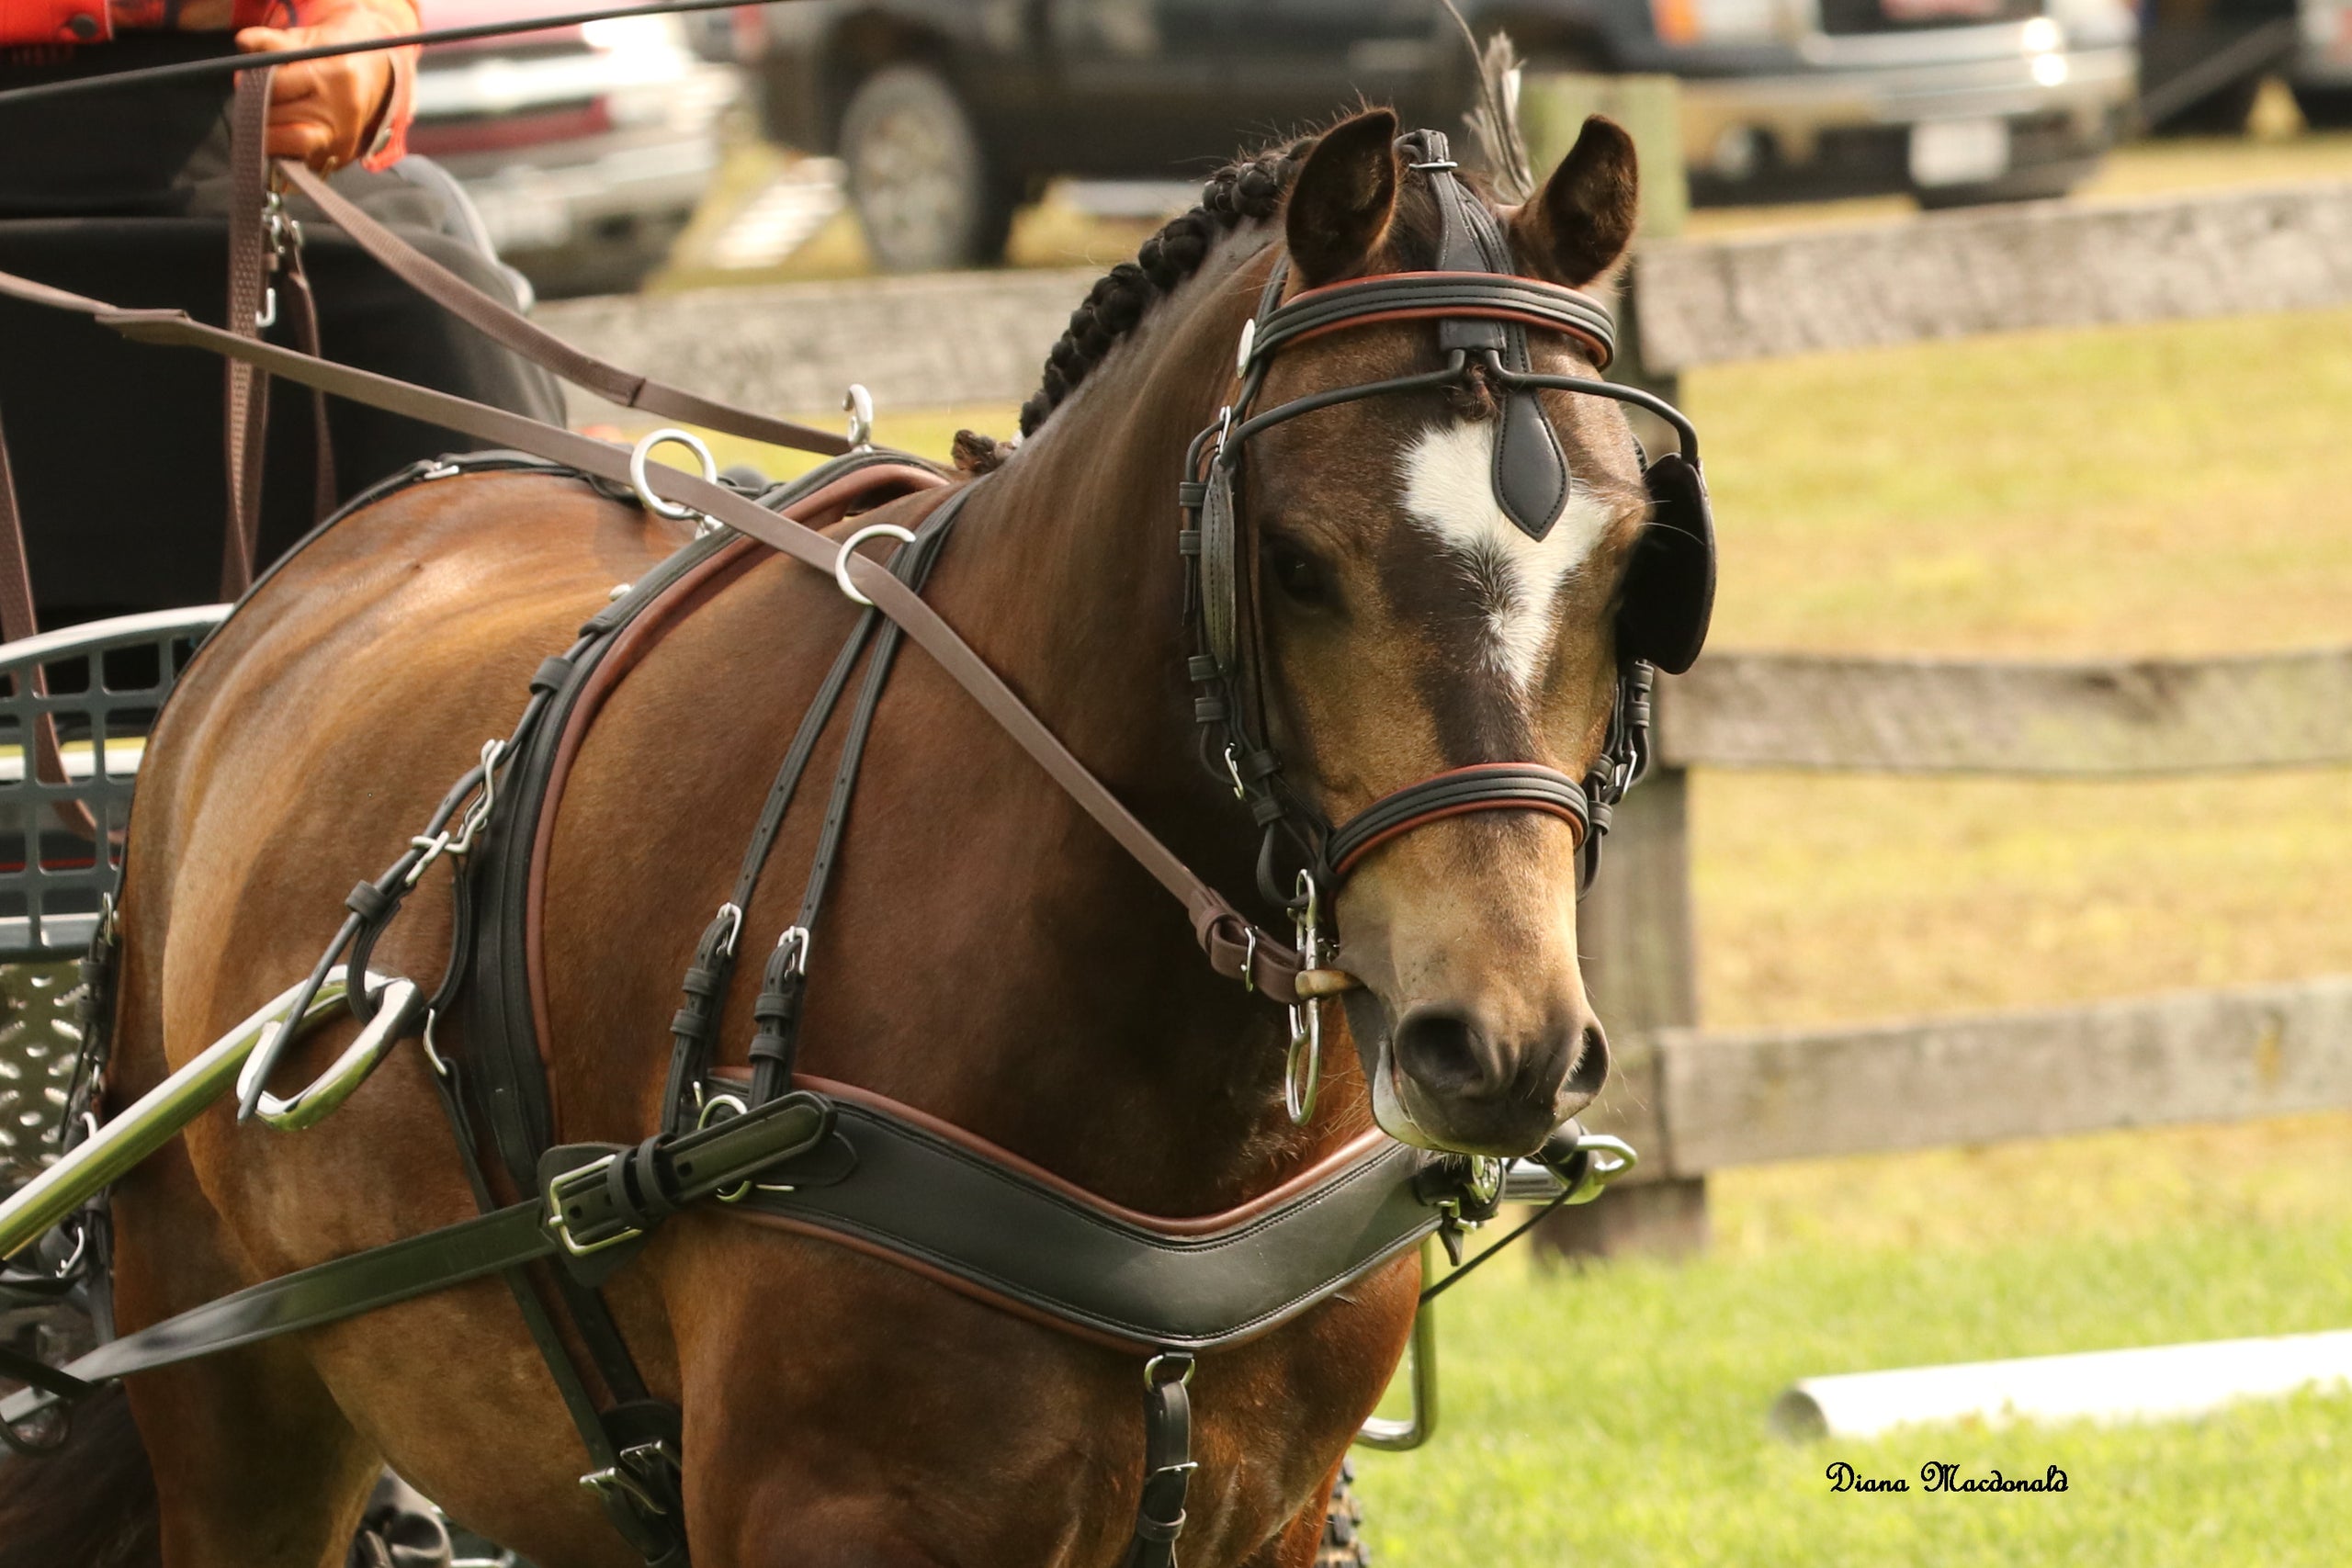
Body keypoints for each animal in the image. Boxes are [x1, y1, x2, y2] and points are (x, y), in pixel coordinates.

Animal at [4, 105, 1655, 1566]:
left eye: (1638, 562)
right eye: (1297, 561)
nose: (1501, 1043)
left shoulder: (1268, 1515)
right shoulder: (827, 1512)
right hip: (232, 1392)